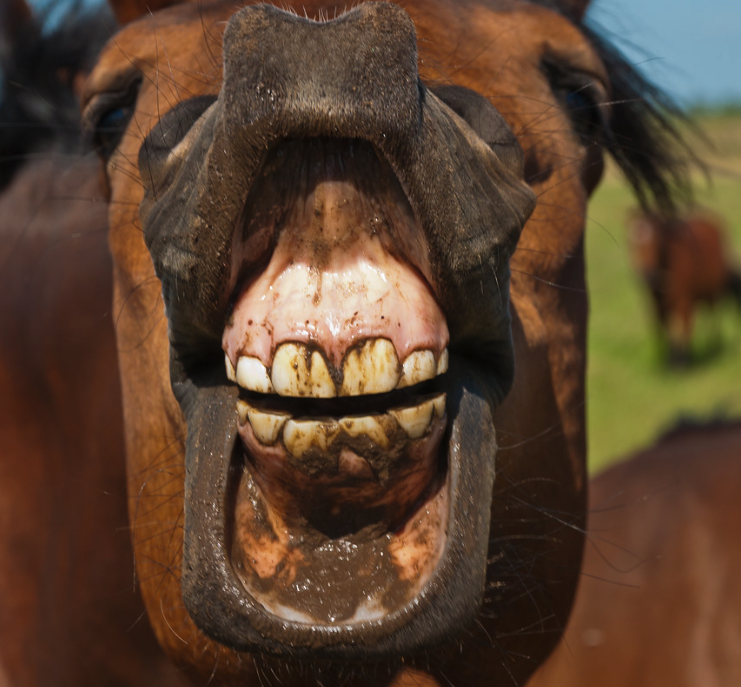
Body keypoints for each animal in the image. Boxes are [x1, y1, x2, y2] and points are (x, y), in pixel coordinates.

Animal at [628, 210, 741, 364]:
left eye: (657, 241)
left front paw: (684, 360)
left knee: (714, 316)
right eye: (632, 243)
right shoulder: (658, 307)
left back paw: (714, 344)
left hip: (713, 293)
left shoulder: (684, 302)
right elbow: (666, 331)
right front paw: (670, 359)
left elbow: (685, 328)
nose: (649, 275)